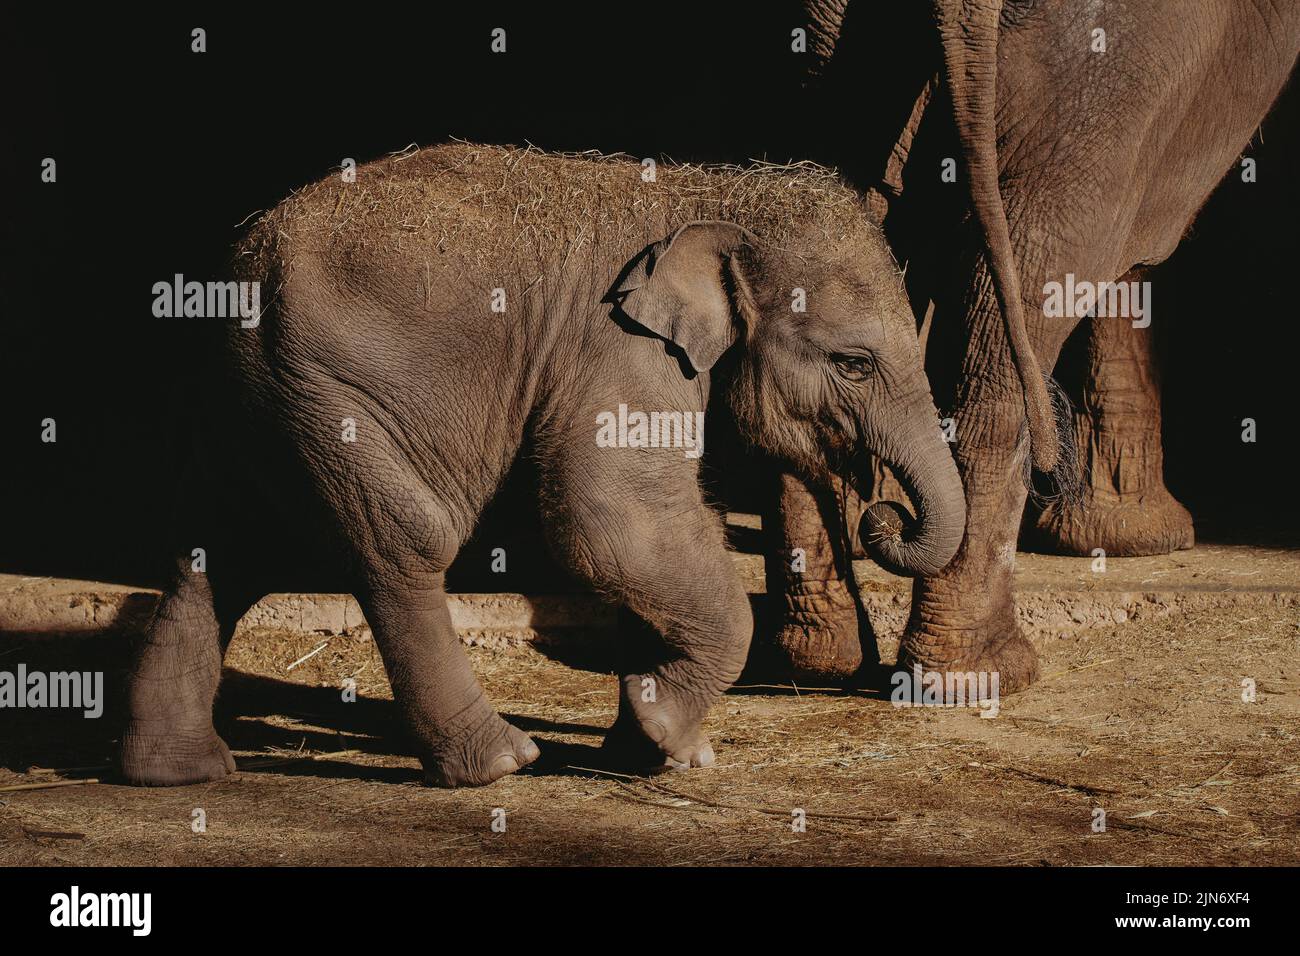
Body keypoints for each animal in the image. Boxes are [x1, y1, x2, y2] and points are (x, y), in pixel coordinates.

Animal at [119, 142, 964, 788]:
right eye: (854, 364)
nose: (883, 513)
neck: (713, 194)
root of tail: (237, 263)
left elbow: (657, 527)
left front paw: (655, 750)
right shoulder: (617, 348)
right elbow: (607, 517)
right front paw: (669, 734)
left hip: (258, 401)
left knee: (217, 553)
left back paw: (179, 772)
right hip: (323, 395)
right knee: (403, 542)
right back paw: (499, 764)